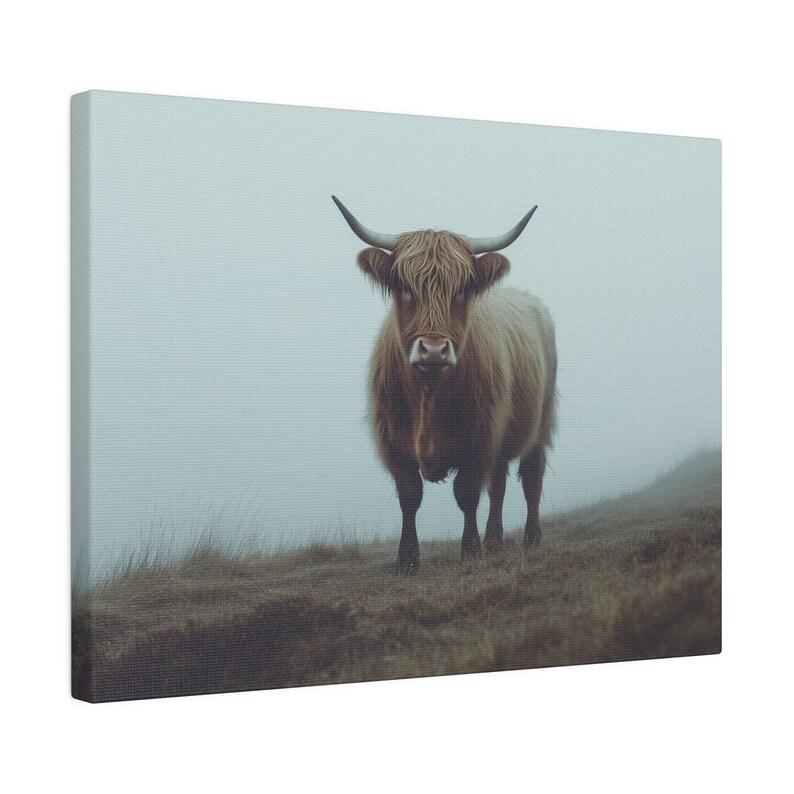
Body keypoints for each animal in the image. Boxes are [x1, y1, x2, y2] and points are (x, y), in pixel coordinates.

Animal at [333, 196, 557, 573]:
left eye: (462, 289)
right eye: (403, 287)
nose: (434, 350)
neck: (429, 393)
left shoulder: (479, 436)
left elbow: (466, 493)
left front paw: (470, 550)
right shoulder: (392, 440)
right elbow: (410, 496)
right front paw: (407, 560)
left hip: (539, 424)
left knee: (531, 477)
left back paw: (531, 537)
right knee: (498, 483)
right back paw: (494, 540)